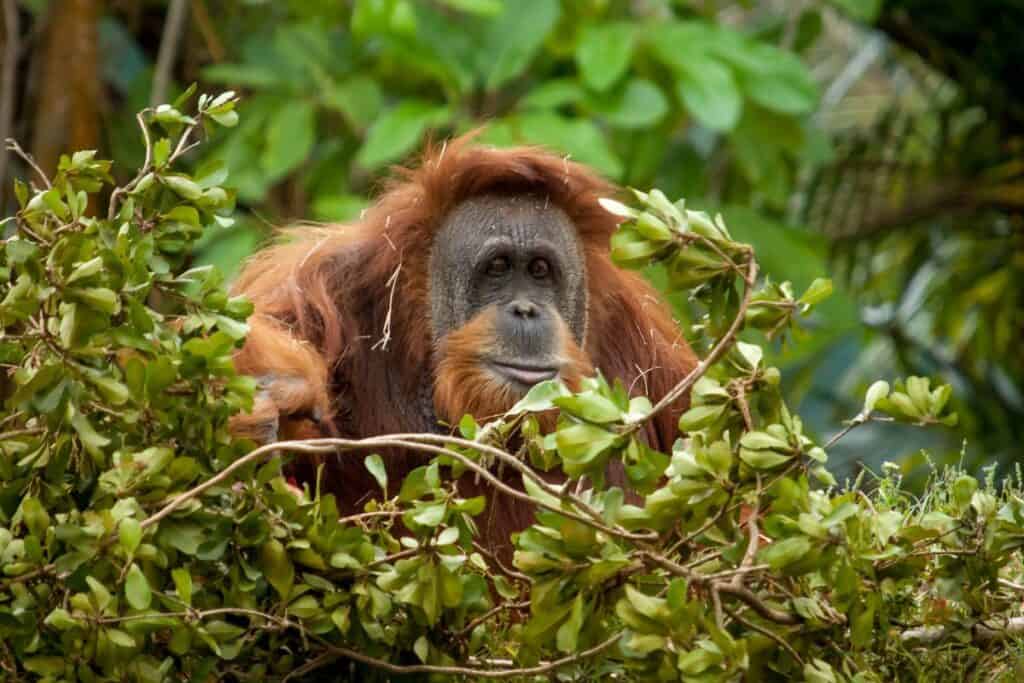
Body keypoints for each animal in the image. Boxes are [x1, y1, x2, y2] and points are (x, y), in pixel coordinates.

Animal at [229, 136, 697, 555]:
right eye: (498, 267)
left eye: (540, 270)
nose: (526, 310)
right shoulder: (319, 282)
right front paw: (275, 392)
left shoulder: (641, 331)